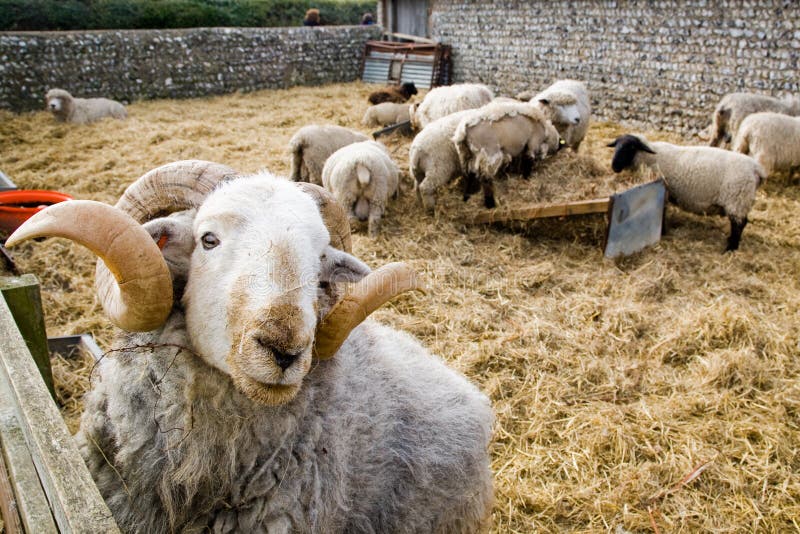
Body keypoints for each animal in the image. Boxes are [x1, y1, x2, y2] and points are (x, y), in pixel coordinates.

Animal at [608, 134, 765, 251]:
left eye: (631, 147)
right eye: (616, 145)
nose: (614, 166)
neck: (650, 156)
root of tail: (756, 169)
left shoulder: (664, 191)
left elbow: (662, 213)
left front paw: (663, 231)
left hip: (737, 199)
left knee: (739, 225)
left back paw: (731, 248)